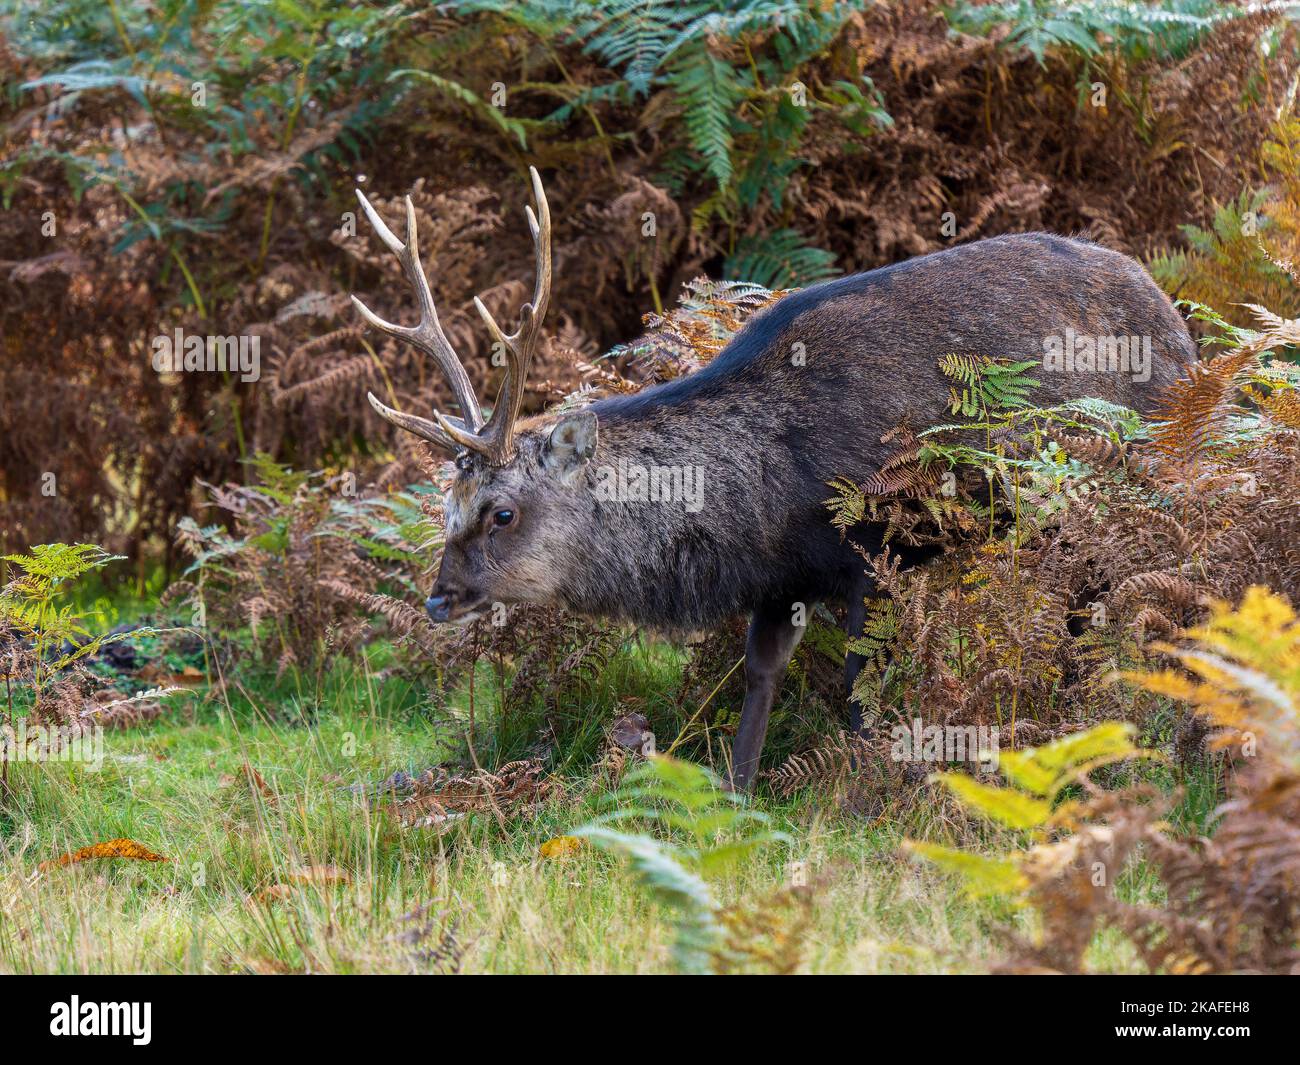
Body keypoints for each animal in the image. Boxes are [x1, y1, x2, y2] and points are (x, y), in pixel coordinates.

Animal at [351, 168, 1195, 790]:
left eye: (500, 511)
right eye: (447, 504)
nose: (438, 598)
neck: (761, 508)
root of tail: (1177, 319)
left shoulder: (873, 546)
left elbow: (856, 686)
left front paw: (871, 785)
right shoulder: (780, 578)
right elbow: (761, 674)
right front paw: (739, 788)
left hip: (1123, 475)